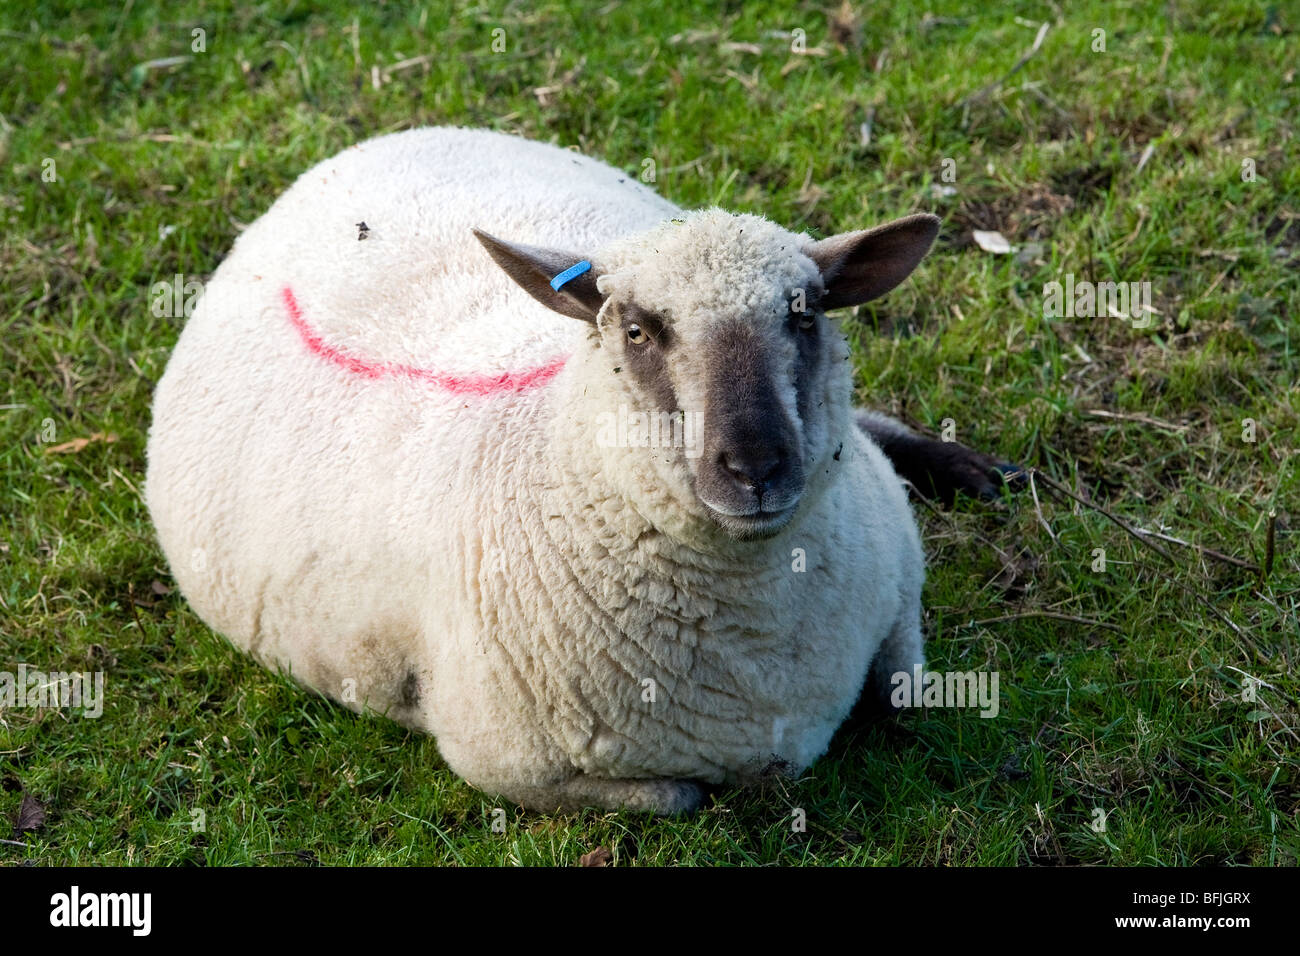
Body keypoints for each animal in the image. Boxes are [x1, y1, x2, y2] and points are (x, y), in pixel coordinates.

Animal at [145, 126, 1012, 814]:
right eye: (636, 330)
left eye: (806, 315)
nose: (757, 467)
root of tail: (352, 153)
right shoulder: (504, 763)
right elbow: (682, 797)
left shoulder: (897, 580)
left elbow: (906, 695)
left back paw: (975, 469)